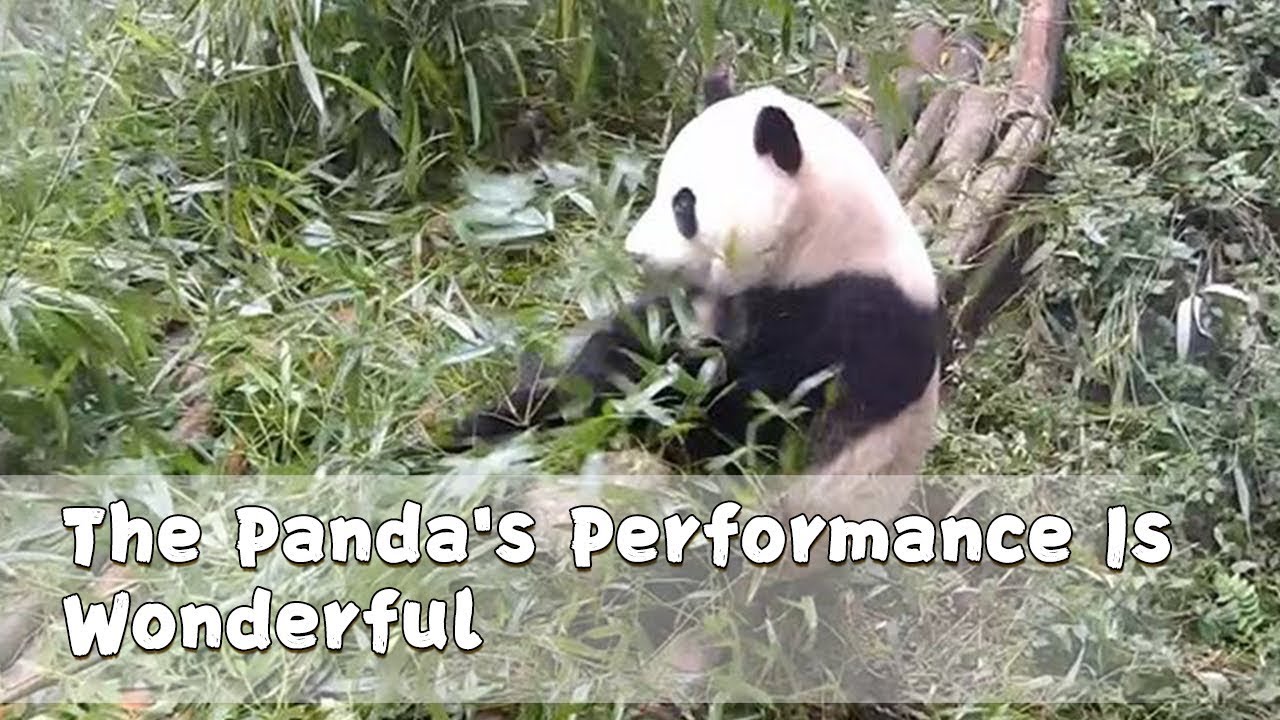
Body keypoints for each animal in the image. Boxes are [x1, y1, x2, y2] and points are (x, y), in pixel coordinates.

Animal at [449, 85, 942, 484]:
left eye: (683, 205)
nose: (634, 252)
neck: (823, 241)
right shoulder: (703, 302)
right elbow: (632, 338)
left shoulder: (852, 323)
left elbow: (732, 422)